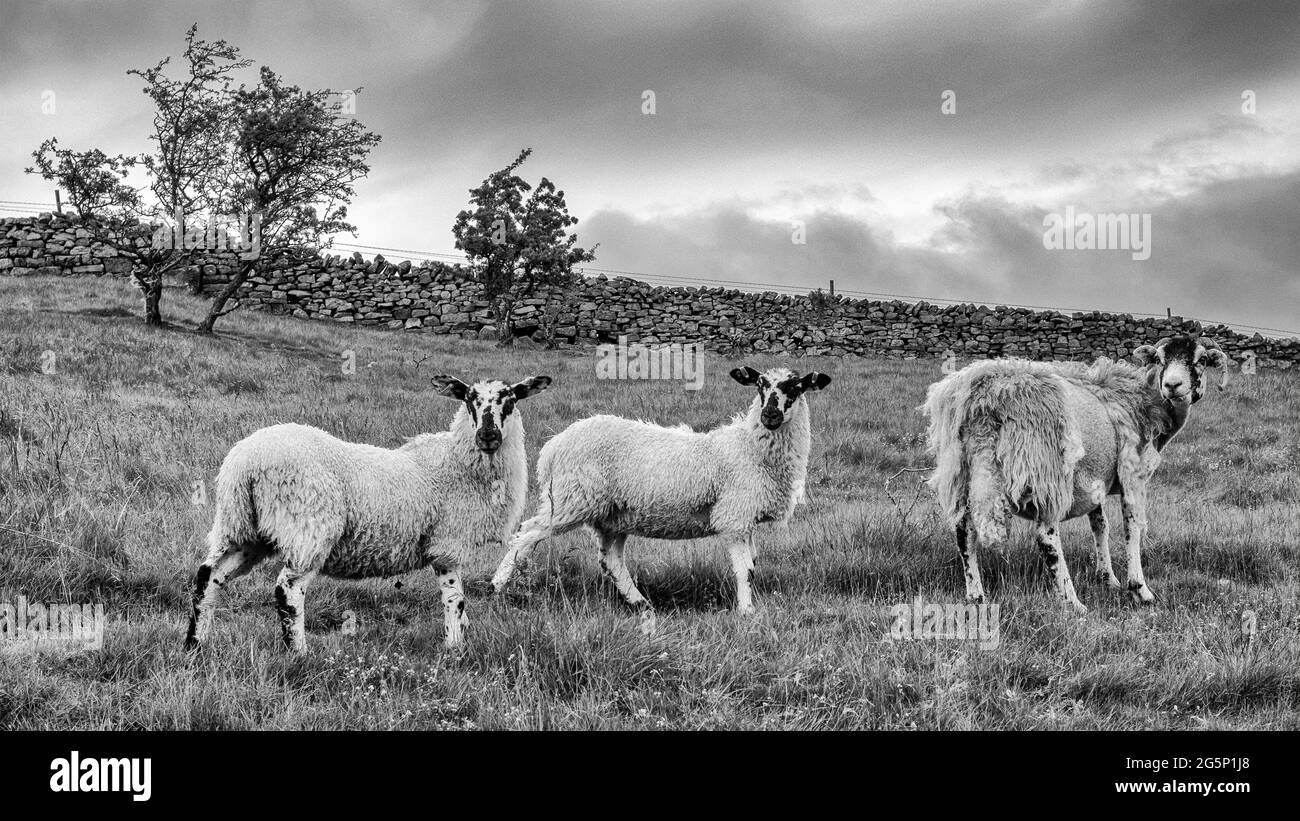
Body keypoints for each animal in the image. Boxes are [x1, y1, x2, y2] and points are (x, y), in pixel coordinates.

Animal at [183, 373, 552, 654]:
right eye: (469, 400)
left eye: (511, 400)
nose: (488, 435)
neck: (458, 463)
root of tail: (245, 461)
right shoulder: (447, 544)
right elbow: (455, 599)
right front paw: (454, 647)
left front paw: (461, 637)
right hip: (309, 528)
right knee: (288, 589)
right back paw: (297, 652)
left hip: (242, 527)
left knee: (209, 575)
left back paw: (196, 643)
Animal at [488, 366, 832, 632]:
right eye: (760, 385)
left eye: (796, 388)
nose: (770, 414)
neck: (748, 446)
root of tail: (553, 446)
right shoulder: (734, 516)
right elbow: (744, 569)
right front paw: (747, 613)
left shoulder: (747, 518)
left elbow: (753, 566)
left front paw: (748, 606)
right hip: (571, 500)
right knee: (526, 535)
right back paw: (496, 586)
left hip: (612, 515)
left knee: (611, 561)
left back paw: (641, 604)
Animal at [921, 335, 1228, 611]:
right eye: (1161, 359)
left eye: (1201, 360)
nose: (1173, 385)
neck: (1144, 403)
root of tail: (985, 397)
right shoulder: (1132, 471)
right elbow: (1132, 527)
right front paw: (1140, 589)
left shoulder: (1096, 478)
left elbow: (1100, 525)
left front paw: (1108, 578)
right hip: (1044, 470)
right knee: (1046, 536)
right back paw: (1072, 602)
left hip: (961, 471)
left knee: (964, 531)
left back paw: (976, 595)